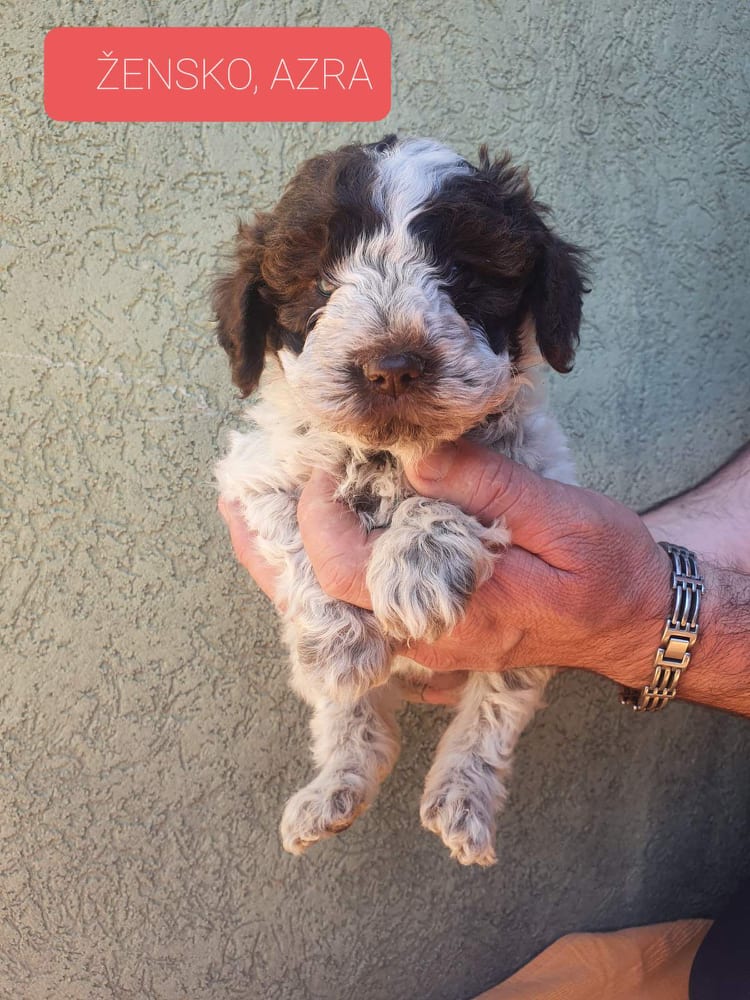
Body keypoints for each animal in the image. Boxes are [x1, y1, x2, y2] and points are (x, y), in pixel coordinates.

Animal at [213, 135, 588, 868]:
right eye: (316, 280)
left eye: (466, 271)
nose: (392, 366)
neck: (386, 453)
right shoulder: (257, 475)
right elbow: (294, 533)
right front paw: (338, 641)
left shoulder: (533, 474)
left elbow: (450, 495)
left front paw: (418, 563)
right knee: (356, 725)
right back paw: (333, 789)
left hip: (522, 661)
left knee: (489, 722)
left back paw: (460, 804)